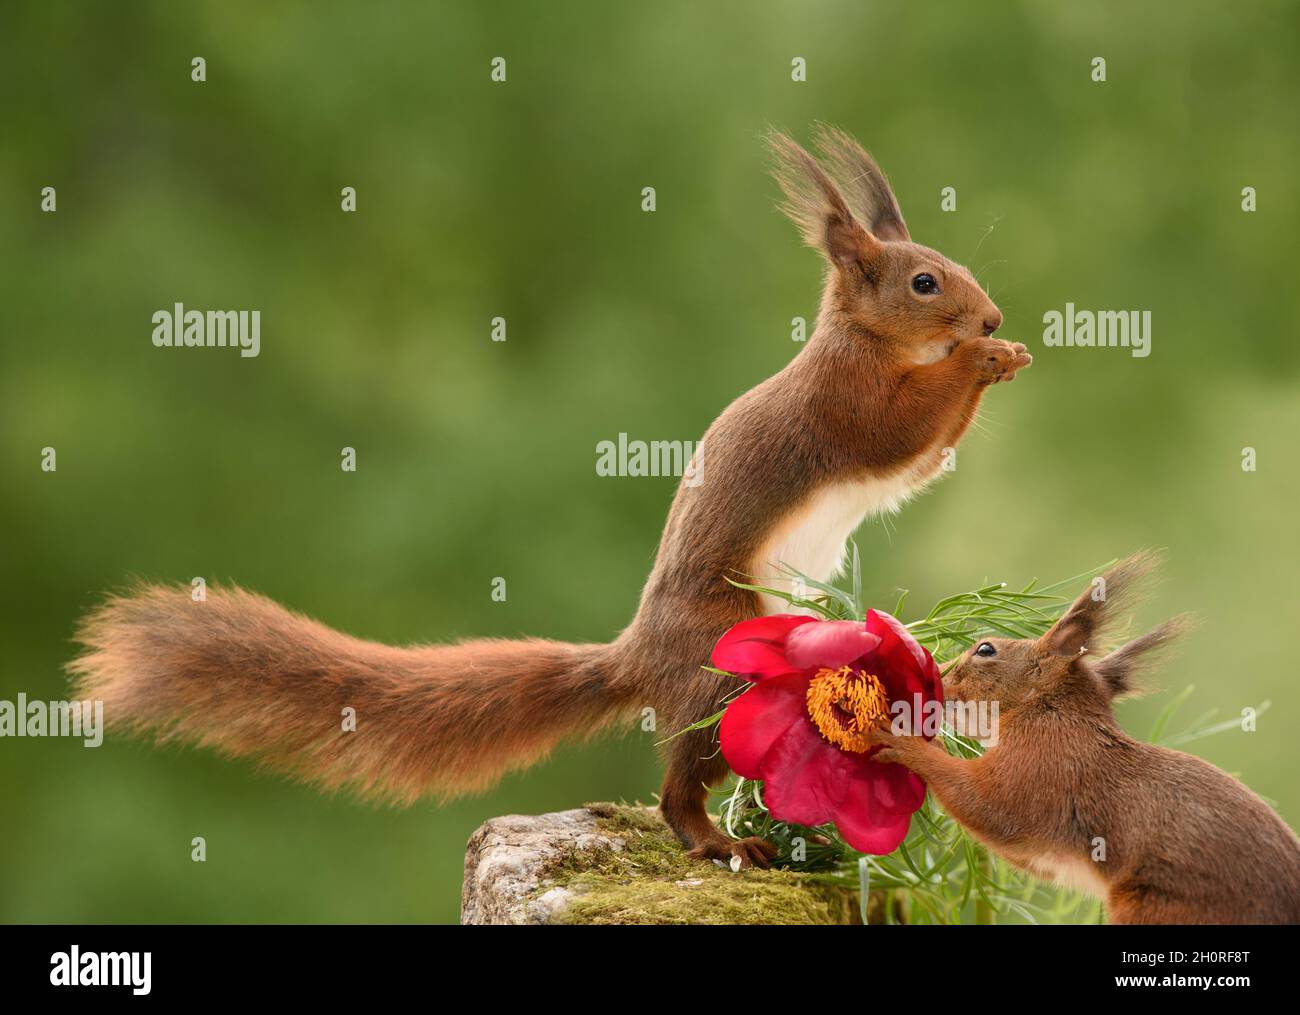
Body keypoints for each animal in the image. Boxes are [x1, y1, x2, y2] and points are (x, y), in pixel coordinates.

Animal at [70, 126, 1030, 869]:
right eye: (924, 283)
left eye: (954, 267)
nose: (990, 316)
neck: (864, 341)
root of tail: (639, 655)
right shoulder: (845, 404)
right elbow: (902, 430)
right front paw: (982, 359)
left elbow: (921, 464)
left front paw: (1006, 354)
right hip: (720, 659)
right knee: (679, 781)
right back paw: (719, 840)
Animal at [870, 552, 1300, 924]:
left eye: (986, 649)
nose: (935, 675)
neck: (1048, 711)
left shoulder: (1043, 767)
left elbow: (986, 804)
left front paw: (907, 741)